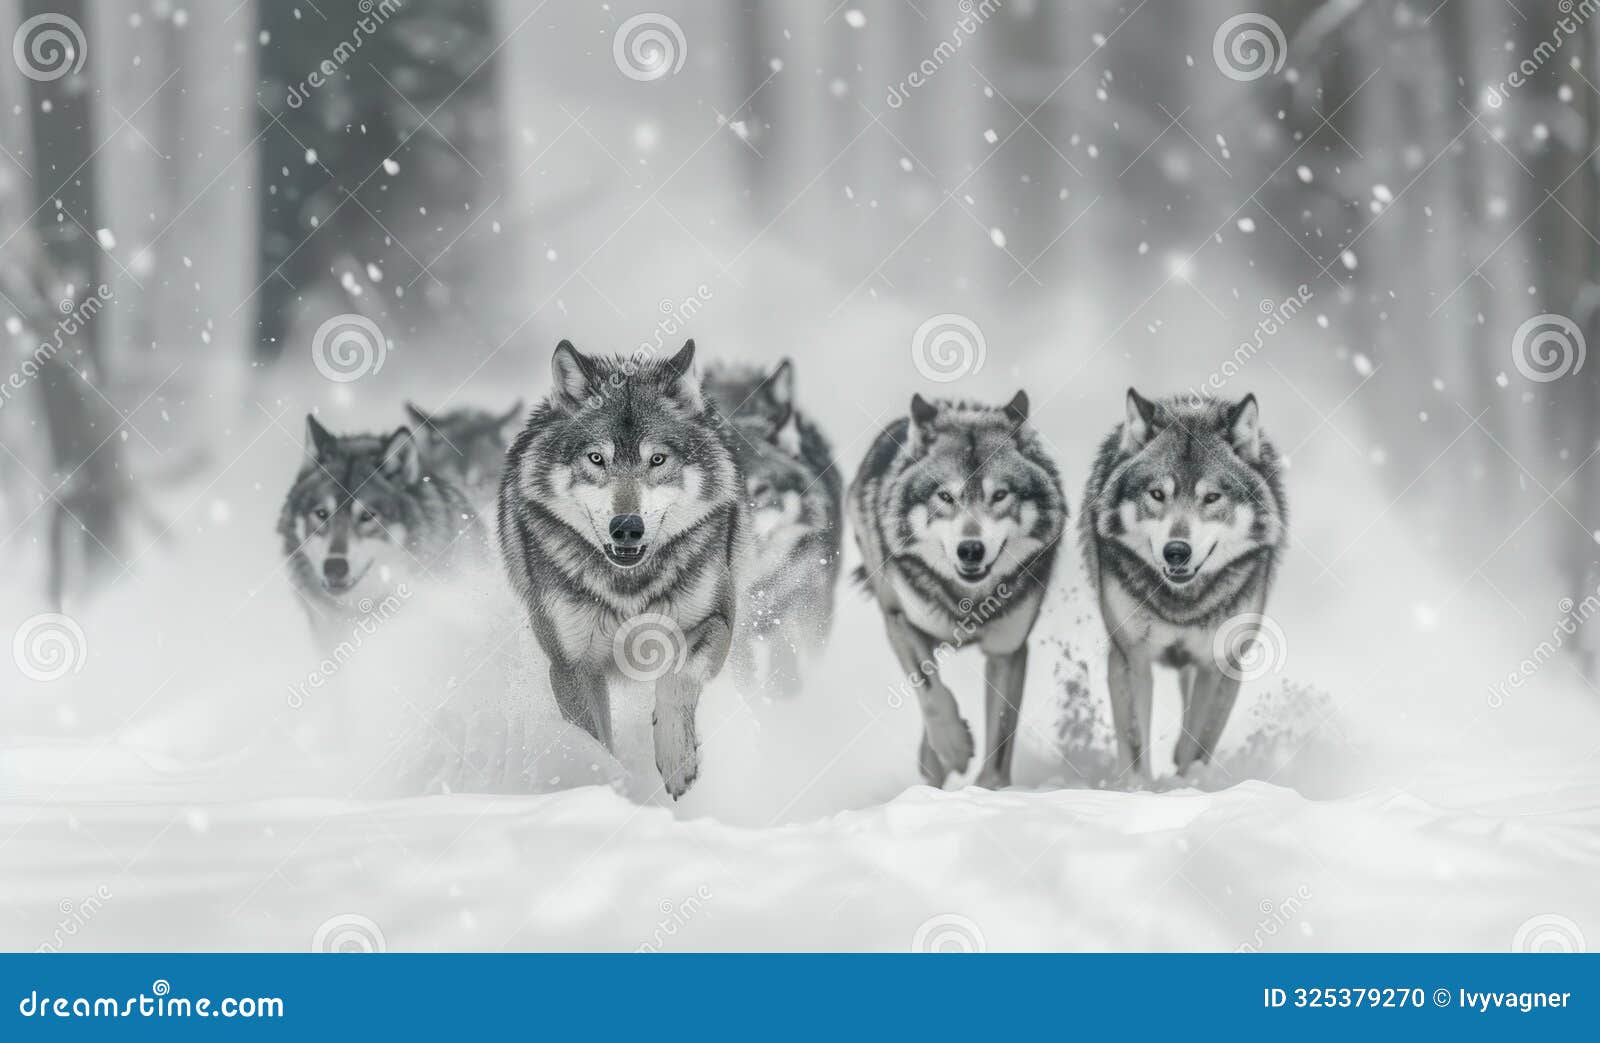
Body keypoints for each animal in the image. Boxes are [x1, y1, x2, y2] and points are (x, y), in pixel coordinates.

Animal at [498, 339, 743, 799]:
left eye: (657, 459)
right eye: (596, 458)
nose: (627, 527)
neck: (628, 583)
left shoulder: (717, 621)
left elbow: (678, 678)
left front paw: (677, 760)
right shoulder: (571, 667)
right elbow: (596, 744)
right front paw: (611, 788)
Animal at [849, 393, 1066, 788]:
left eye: (1000, 495)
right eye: (946, 497)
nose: (971, 549)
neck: (968, 600)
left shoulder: (1007, 650)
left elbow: (1000, 733)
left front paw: (989, 790)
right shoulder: (899, 619)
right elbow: (932, 693)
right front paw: (953, 747)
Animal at [1080, 390, 1287, 780]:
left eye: (1212, 497)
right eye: (1157, 494)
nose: (1176, 551)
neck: (1182, 604)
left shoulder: (1219, 663)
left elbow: (1198, 740)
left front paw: (1186, 784)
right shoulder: (1131, 655)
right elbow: (1135, 742)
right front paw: (1139, 788)